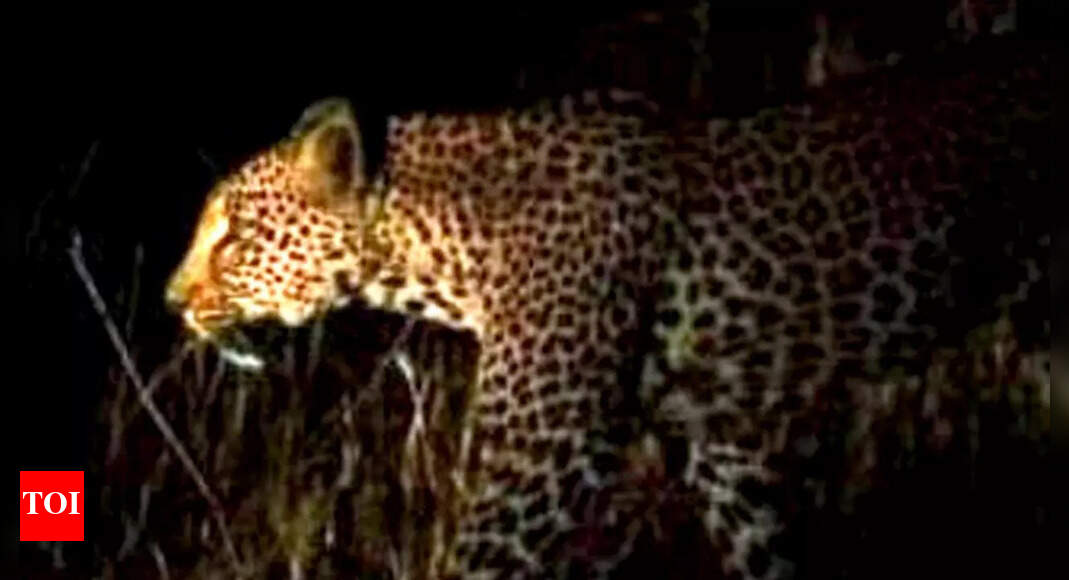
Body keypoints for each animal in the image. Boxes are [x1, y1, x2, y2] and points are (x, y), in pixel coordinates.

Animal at [165, 46, 1050, 578]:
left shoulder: (546, 454)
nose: (173, 301)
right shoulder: (719, 439)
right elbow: (763, 545)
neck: (439, 245)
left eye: (232, 235)